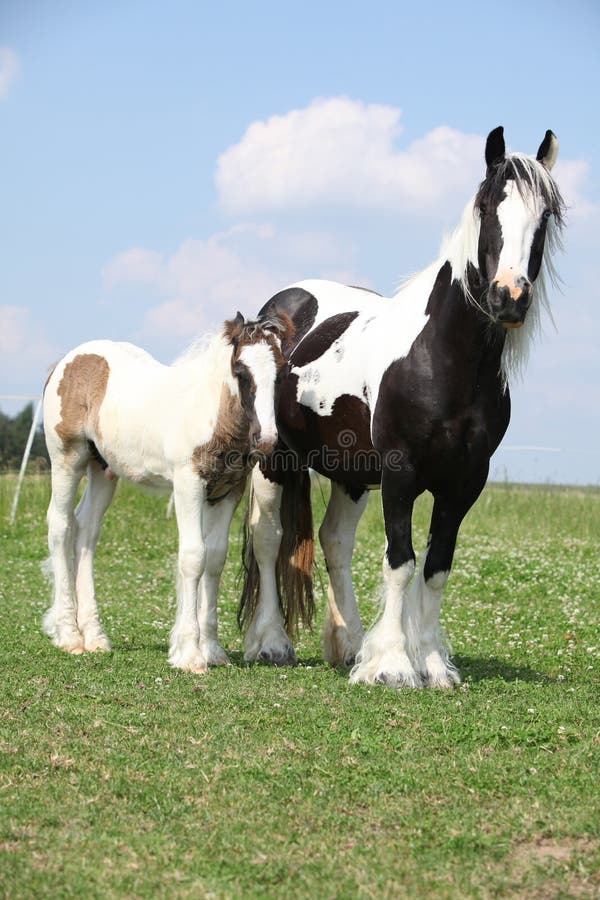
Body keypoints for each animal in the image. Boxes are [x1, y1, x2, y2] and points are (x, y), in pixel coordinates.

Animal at [42, 311, 293, 673]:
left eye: (283, 371)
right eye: (241, 370)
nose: (268, 441)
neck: (209, 411)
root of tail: (67, 360)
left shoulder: (227, 491)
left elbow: (215, 559)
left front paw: (212, 649)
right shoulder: (188, 483)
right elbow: (193, 557)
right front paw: (189, 653)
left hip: (103, 469)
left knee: (86, 531)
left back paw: (94, 636)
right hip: (67, 458)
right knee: (60, 526)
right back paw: (69, 635)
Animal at [238, 126, 565, 688]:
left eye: (544, 215)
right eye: (487, 206)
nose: (509, 297)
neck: (442, 360)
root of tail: (282, 304)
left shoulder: (464, 483)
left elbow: (435, 568)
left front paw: (430, 663)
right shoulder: (400, 471)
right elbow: (400, 561)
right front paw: (391, 665)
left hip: (349, 474)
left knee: (333, 542)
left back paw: (349, 645)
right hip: (276, 458)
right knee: (268, 537)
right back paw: (272, 643)